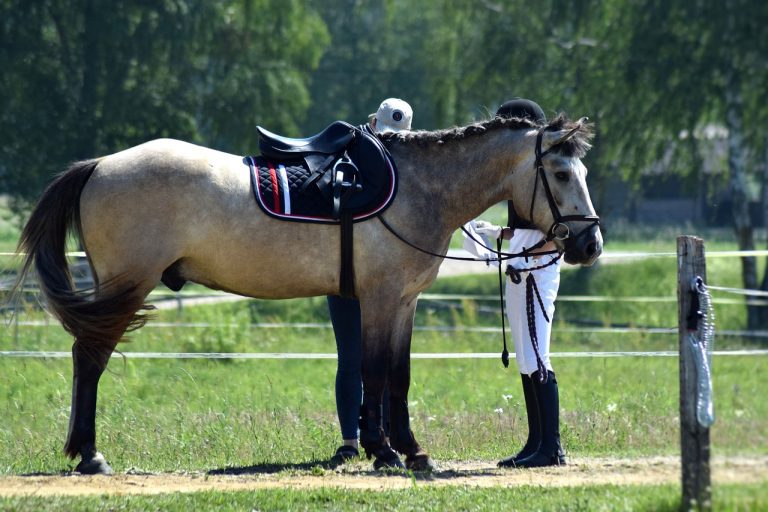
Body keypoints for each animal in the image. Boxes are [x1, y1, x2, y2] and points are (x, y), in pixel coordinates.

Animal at [12, 113, 602, 474]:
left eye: (582, 170)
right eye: (559, 172)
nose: (590, 244)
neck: (417, 187)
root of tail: (99, 166)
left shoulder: (404, 302)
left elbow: (399, 376)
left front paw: (407, 450)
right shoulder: (381, 298)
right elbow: (375, 373)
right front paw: (386, 451)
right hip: (126, 286)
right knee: (89, 359)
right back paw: (90, 454)